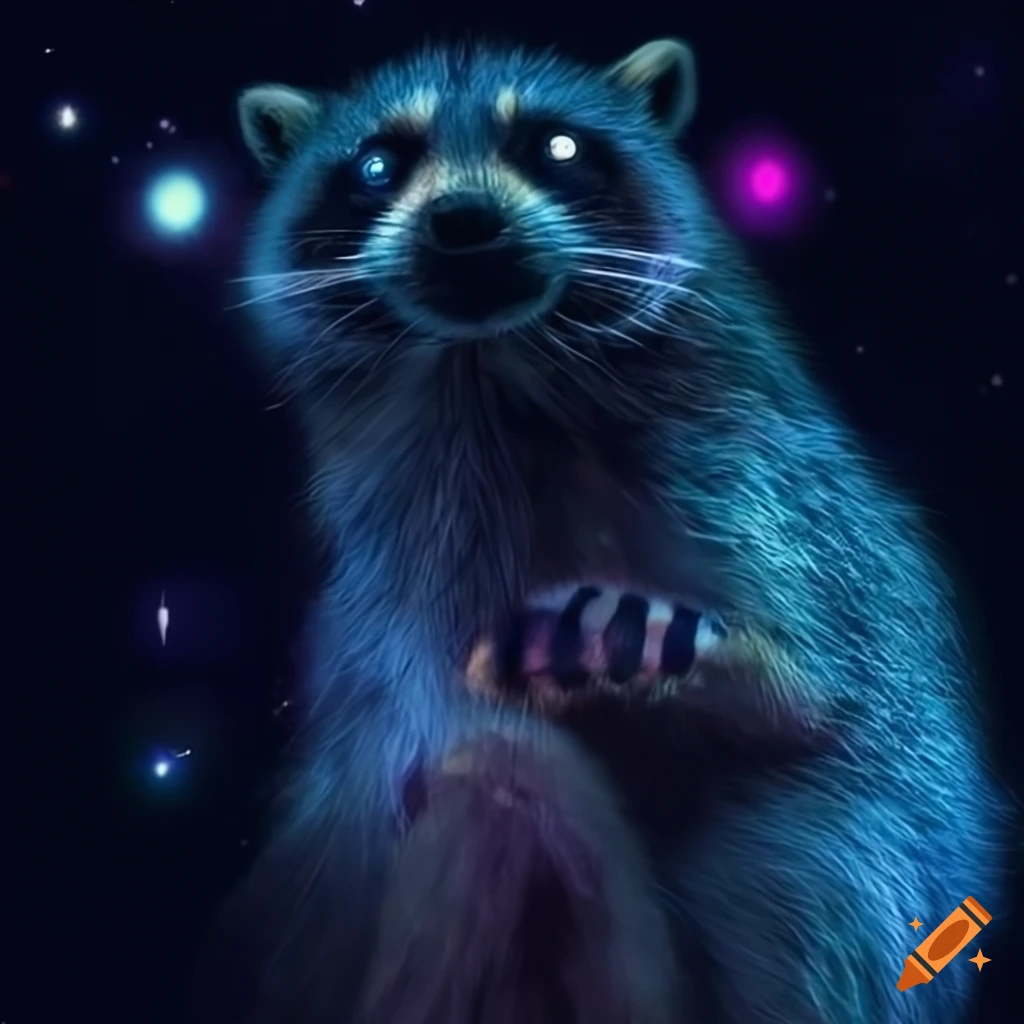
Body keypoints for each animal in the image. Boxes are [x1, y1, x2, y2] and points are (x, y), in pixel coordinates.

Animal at [195, 39, 1006, 1024]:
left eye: (558, 147)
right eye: (378, 165)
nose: (463, 222)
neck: (484, 371)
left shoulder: (770, 495)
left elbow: (819, 693)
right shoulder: (383, 606)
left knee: (509, 782)